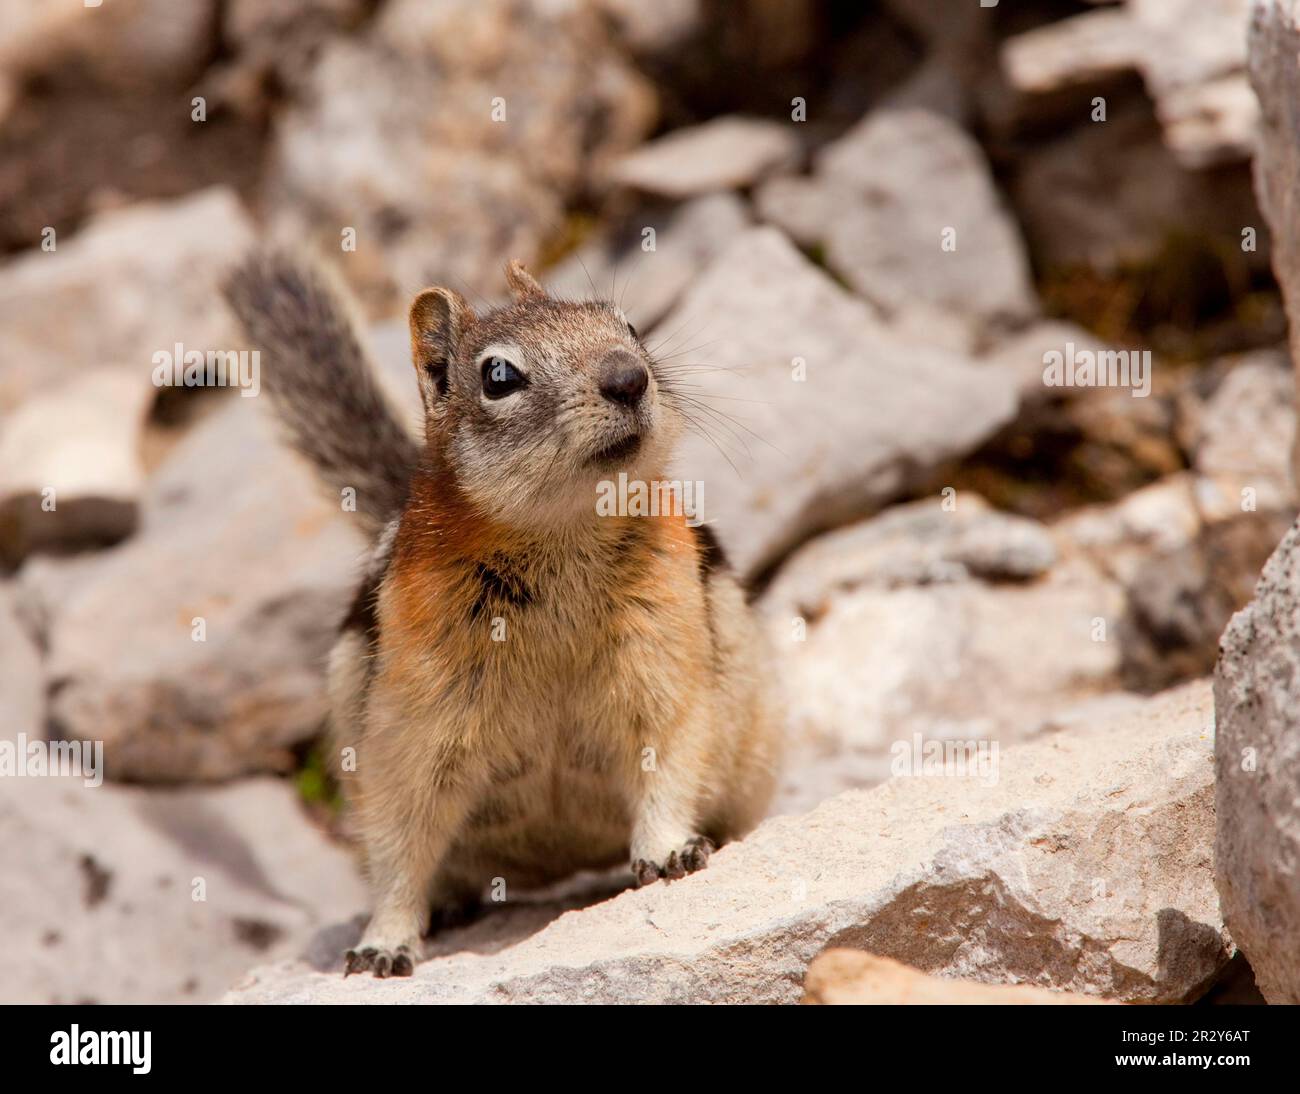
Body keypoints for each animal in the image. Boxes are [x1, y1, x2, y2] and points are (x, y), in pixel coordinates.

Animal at [224, 252, 782, 978]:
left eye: (630, 326)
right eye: (499, 376)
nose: (628, 377)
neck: (562, 535)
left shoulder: (662, 650)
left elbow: (669, 752)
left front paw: (668, 850)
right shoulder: (412, 719)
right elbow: (400, 834)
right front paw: (384, 941)